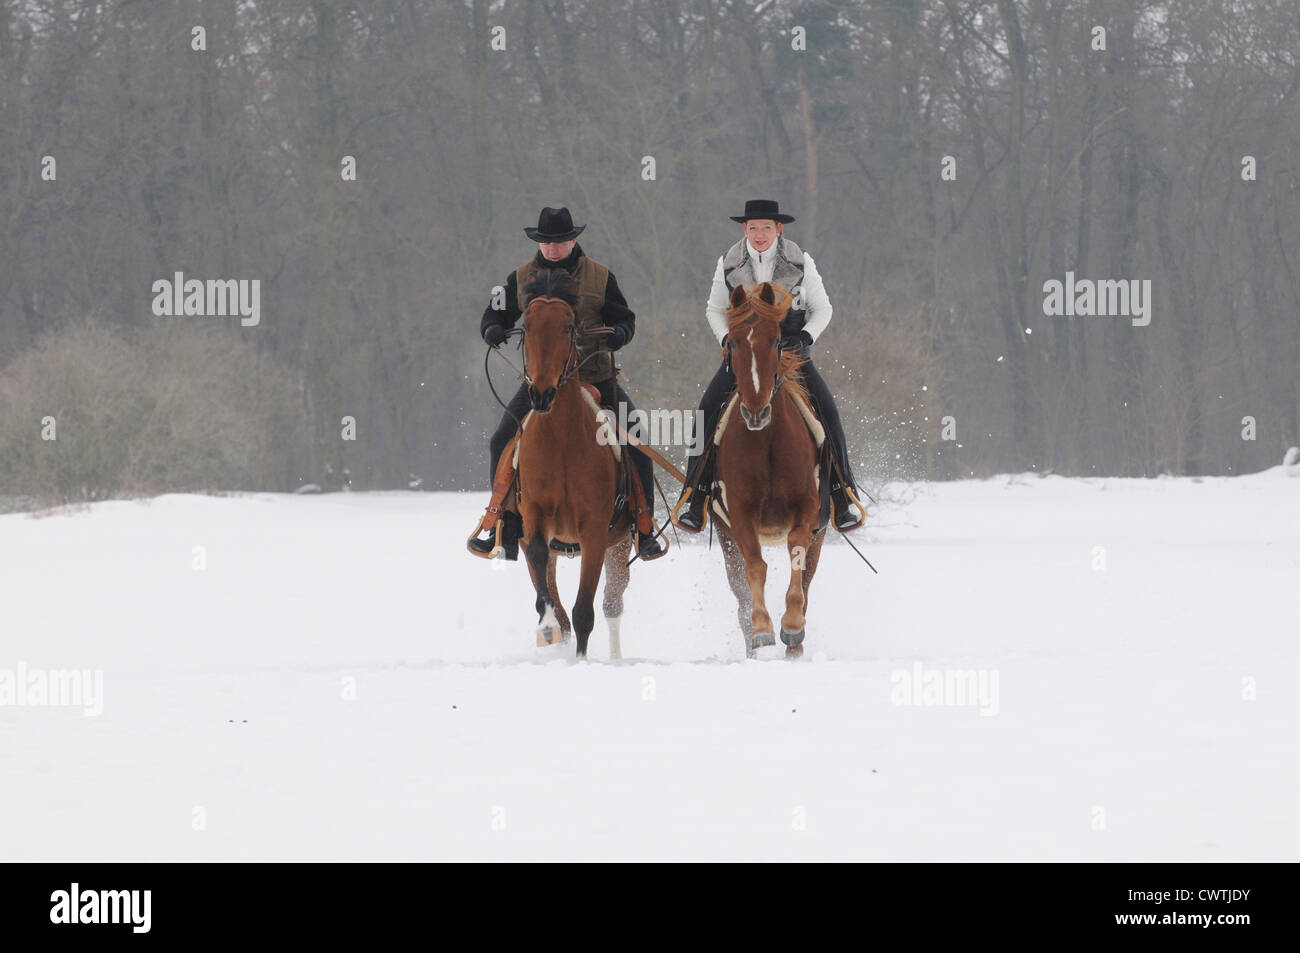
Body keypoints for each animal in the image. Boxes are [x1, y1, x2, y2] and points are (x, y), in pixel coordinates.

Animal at [513, 268, 634, 658]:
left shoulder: (595, 532)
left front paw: (580, 662)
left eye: (567, 327)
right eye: (527, 326)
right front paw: (548, 623)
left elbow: (585, 612)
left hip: (620, 544)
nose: (541, 393)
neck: (562, 441)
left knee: (612, 604)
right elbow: (550, 594)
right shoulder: (534, 517)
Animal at [711, 282, 827, 659]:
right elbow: (755, 568)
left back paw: (795, 646)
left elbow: (796, 556)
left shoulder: (807, 509)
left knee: (807, 582)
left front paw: (790, 626)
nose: (756, 412)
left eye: (777, 341)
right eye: (733, 342)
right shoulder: (740, 514)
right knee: (740, 591)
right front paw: (762, 629)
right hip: (725, 535)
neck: (768, 441)